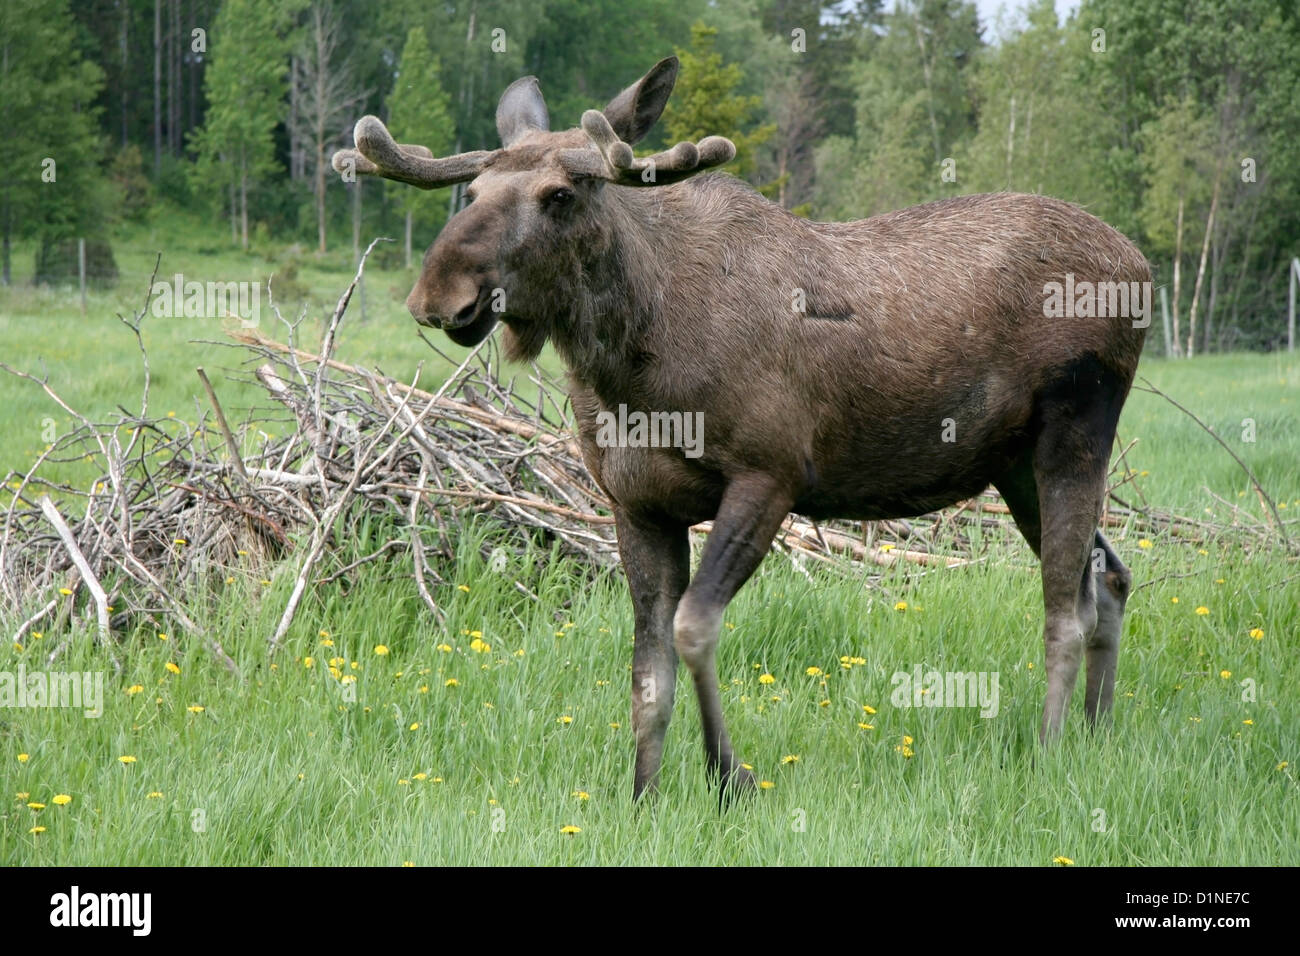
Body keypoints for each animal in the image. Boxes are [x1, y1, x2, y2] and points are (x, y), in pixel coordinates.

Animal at [333, 56, 1149, 803]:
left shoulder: (771, 475)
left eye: (559, 195)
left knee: (1065, 605)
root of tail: (1141, 267)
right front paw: (643, 795)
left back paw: (1049, 751)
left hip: (1073, 431)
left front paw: (731, 776)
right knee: (1109, 574)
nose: (441, 293)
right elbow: (647, 670)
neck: (630, 369)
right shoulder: (637, 504)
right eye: (471, 191)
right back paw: (1098, 732)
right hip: (1011, 466)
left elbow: (694, 628)